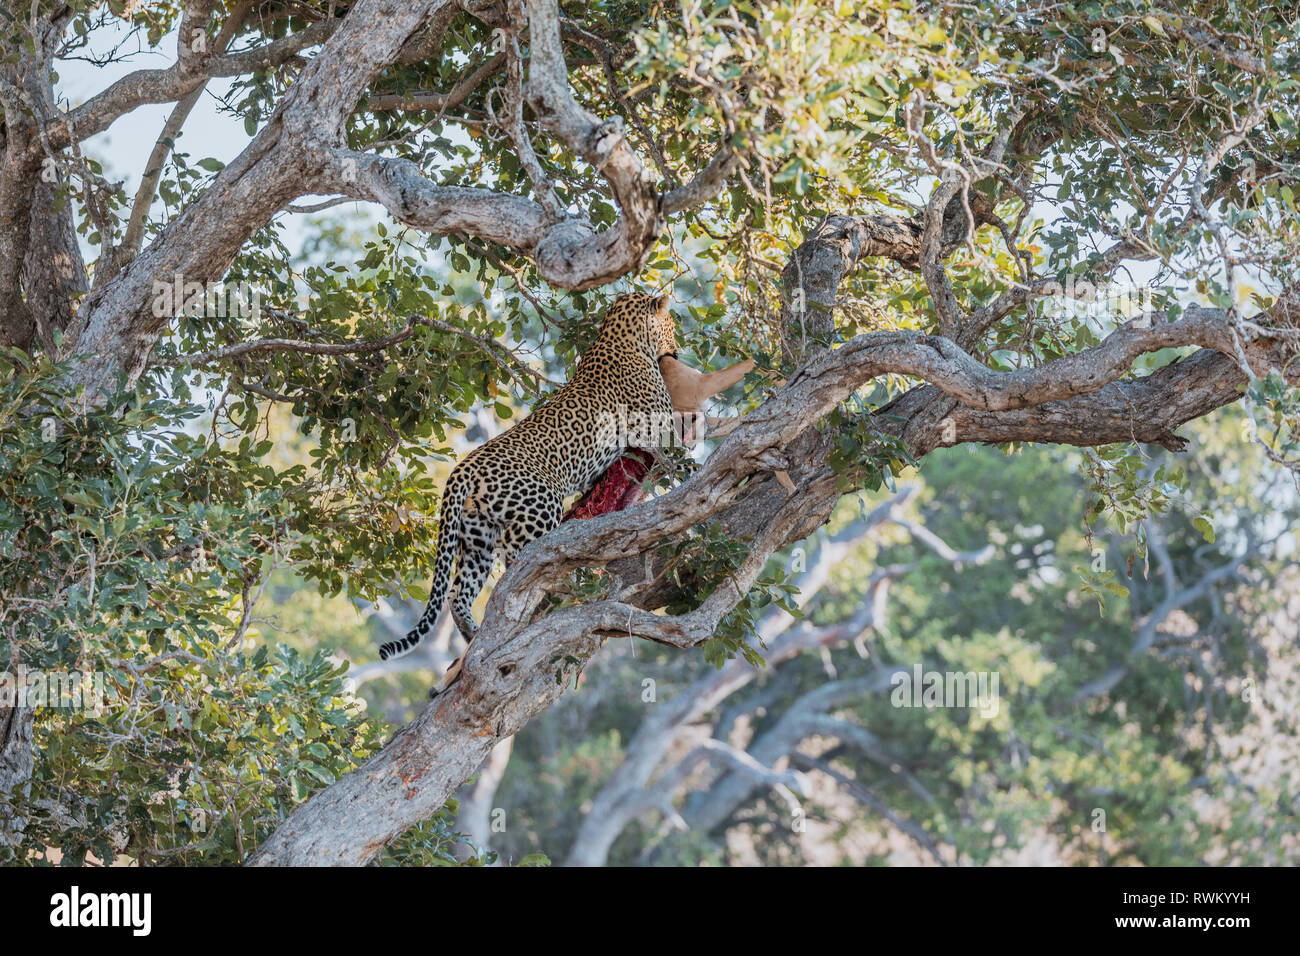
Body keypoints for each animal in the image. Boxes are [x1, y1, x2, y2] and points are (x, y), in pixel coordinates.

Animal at [378, 291, 680, 693]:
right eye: (672, 324)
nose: (677, 352)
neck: (617, 334)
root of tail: (462, 469)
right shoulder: (659, 422)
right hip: (538, 509)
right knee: (518, 563)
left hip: (476, 537)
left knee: (460, 594)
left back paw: (473, 637)